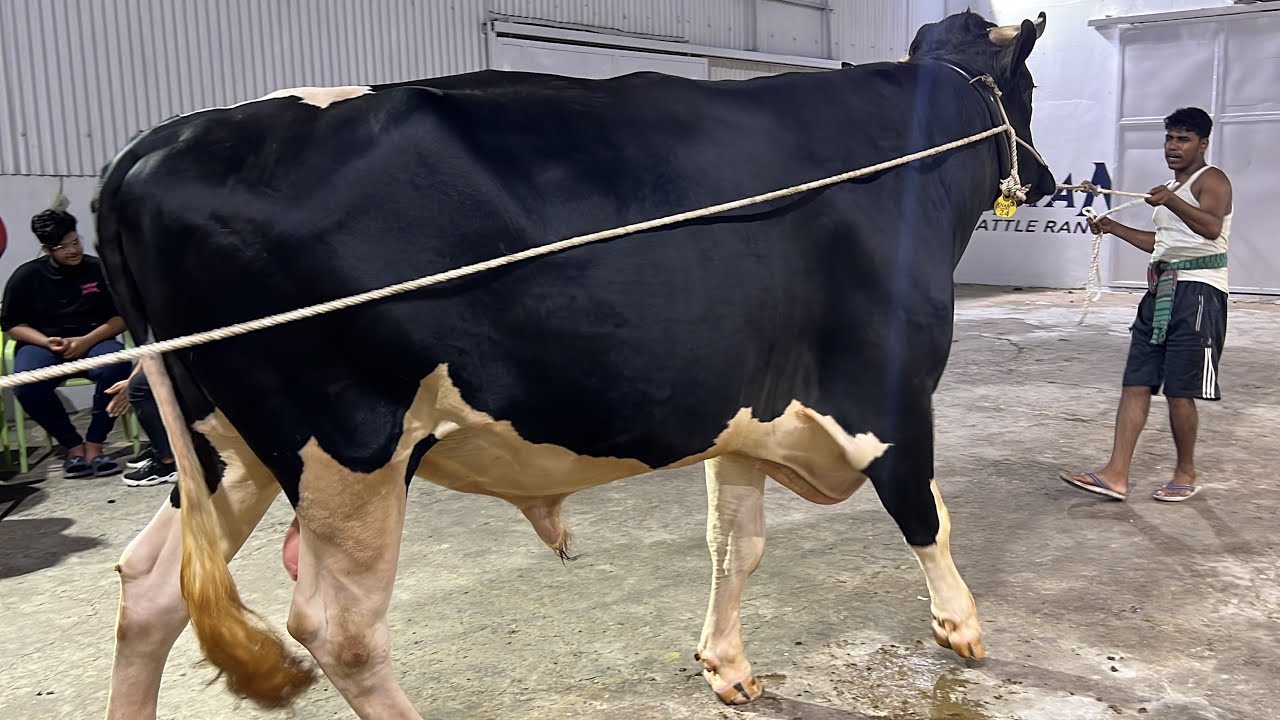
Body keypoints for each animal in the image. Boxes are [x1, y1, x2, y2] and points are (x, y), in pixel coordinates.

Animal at [93, 10, 1053, 719]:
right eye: (1032, 89)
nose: (1045, 182)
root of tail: (153, 148)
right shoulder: (891, 392)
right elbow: (927, 514)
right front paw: (961, 627)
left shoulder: (749, 412)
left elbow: (735, 545)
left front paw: (727, 665)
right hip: (346, 445)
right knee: (339, 628)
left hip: (228, 448)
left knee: (151, 586)